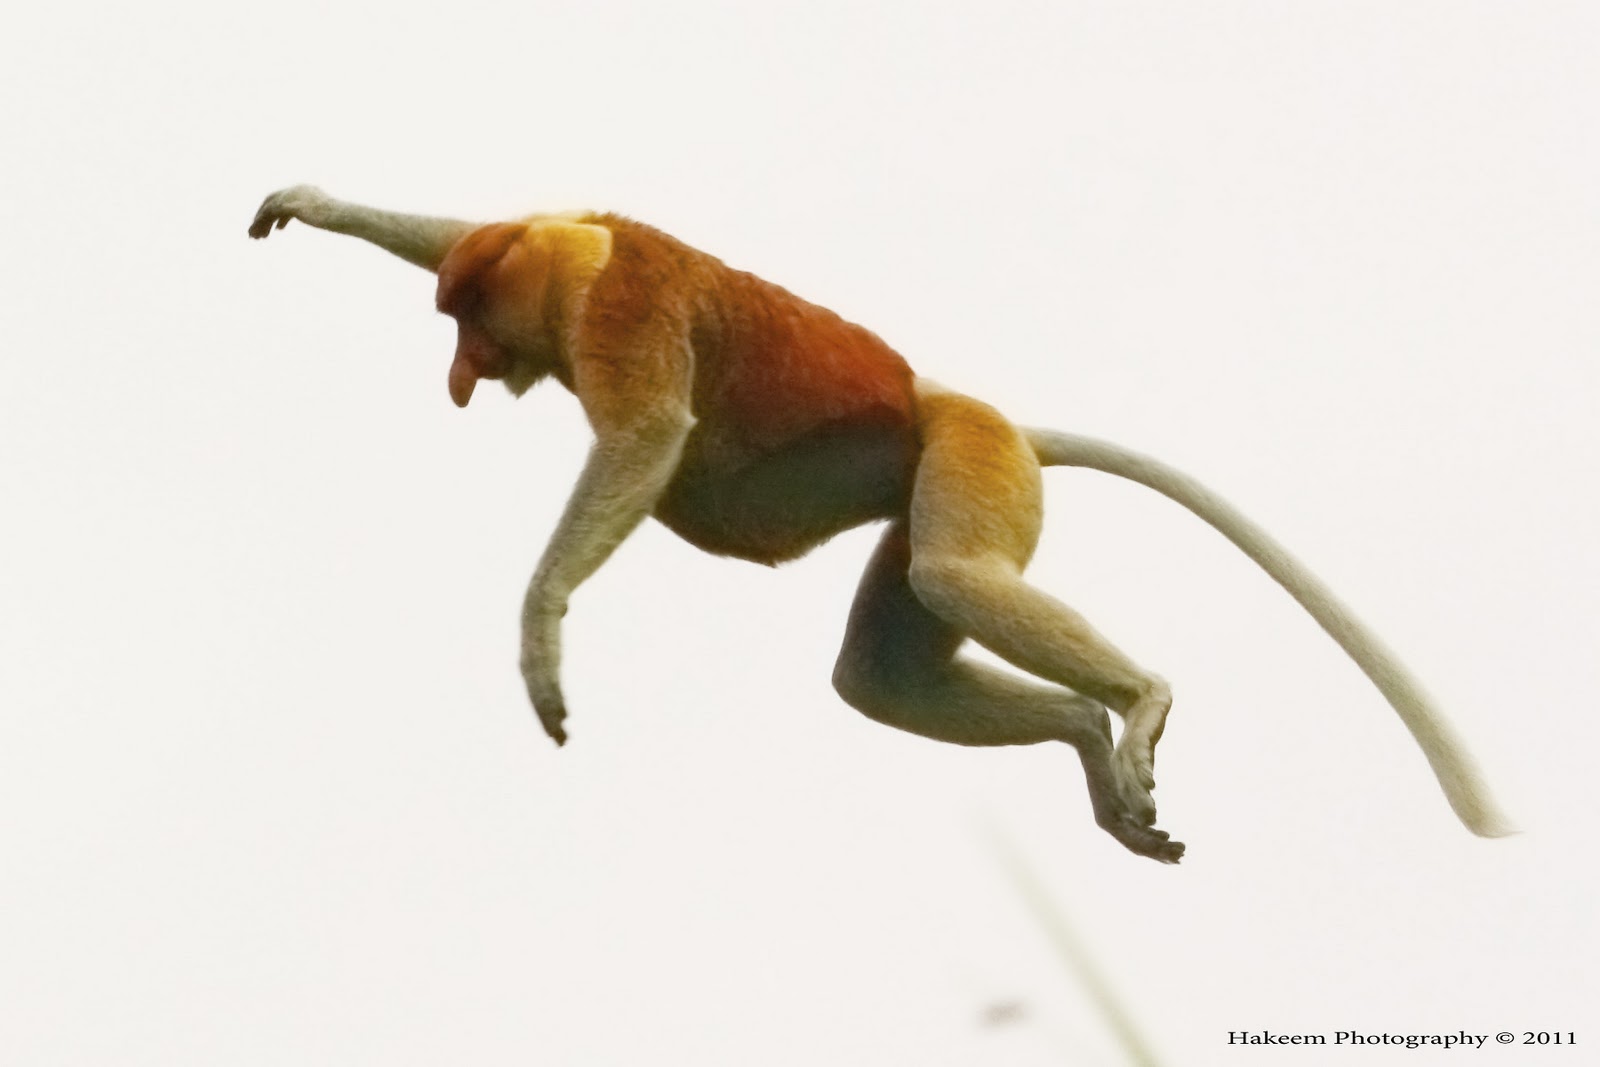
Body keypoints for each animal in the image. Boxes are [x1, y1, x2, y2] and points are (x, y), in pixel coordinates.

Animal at [248, 185, 1511, 862]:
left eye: (469, 316)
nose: (460, 375)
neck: (577, 265)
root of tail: (987, 415)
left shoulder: (628, 308)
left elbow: (646, 435)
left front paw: (541, 627)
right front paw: (308, 206)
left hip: (967, 459)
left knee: (953, 575)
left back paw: (1139, 702)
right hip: (941, 481)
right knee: (884, 671)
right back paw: (1088, 740)